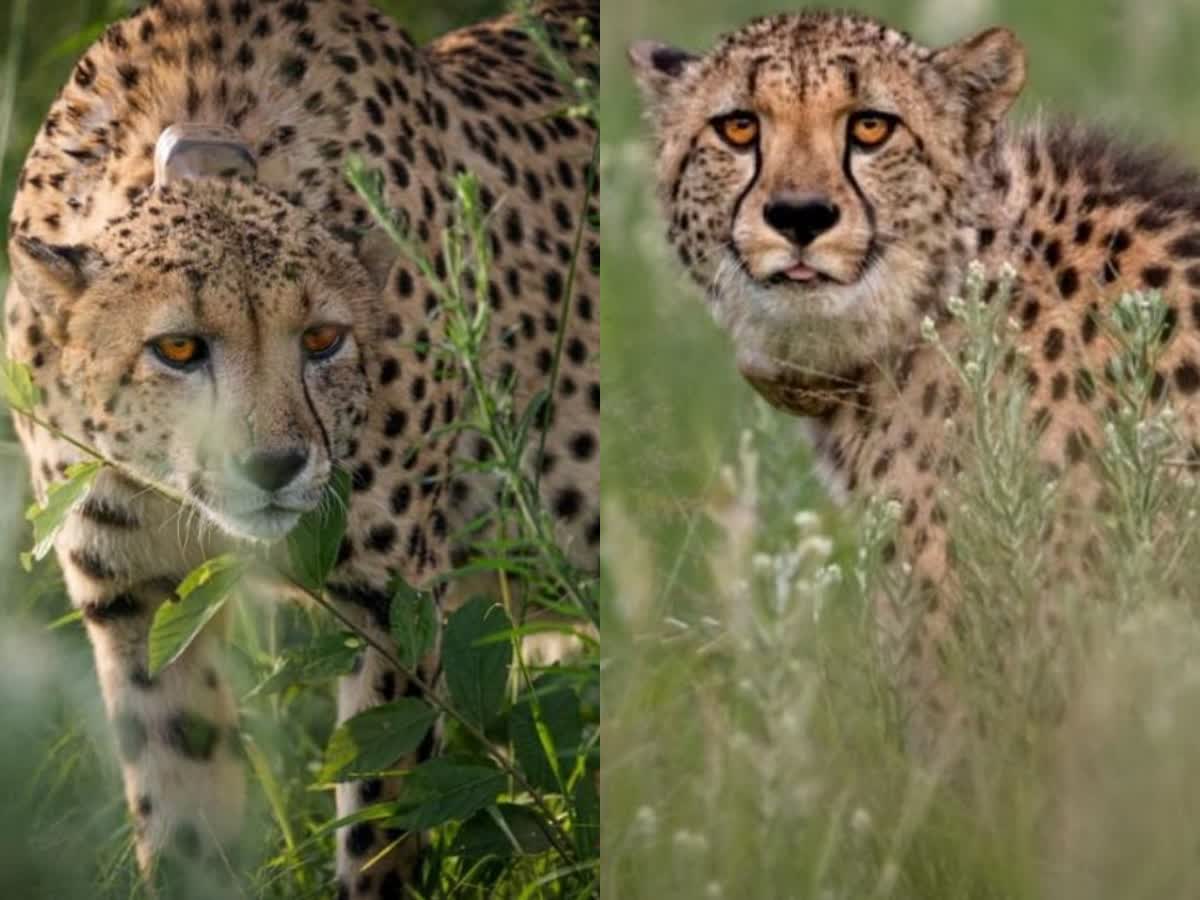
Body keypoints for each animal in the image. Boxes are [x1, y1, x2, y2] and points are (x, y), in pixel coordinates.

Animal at [3, 0, 598, 896]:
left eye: (322, 339)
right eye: (178, 349)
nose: (274, 467)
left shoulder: (397, 601)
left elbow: (382, 821)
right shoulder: (135, 604)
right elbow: (180, 816)